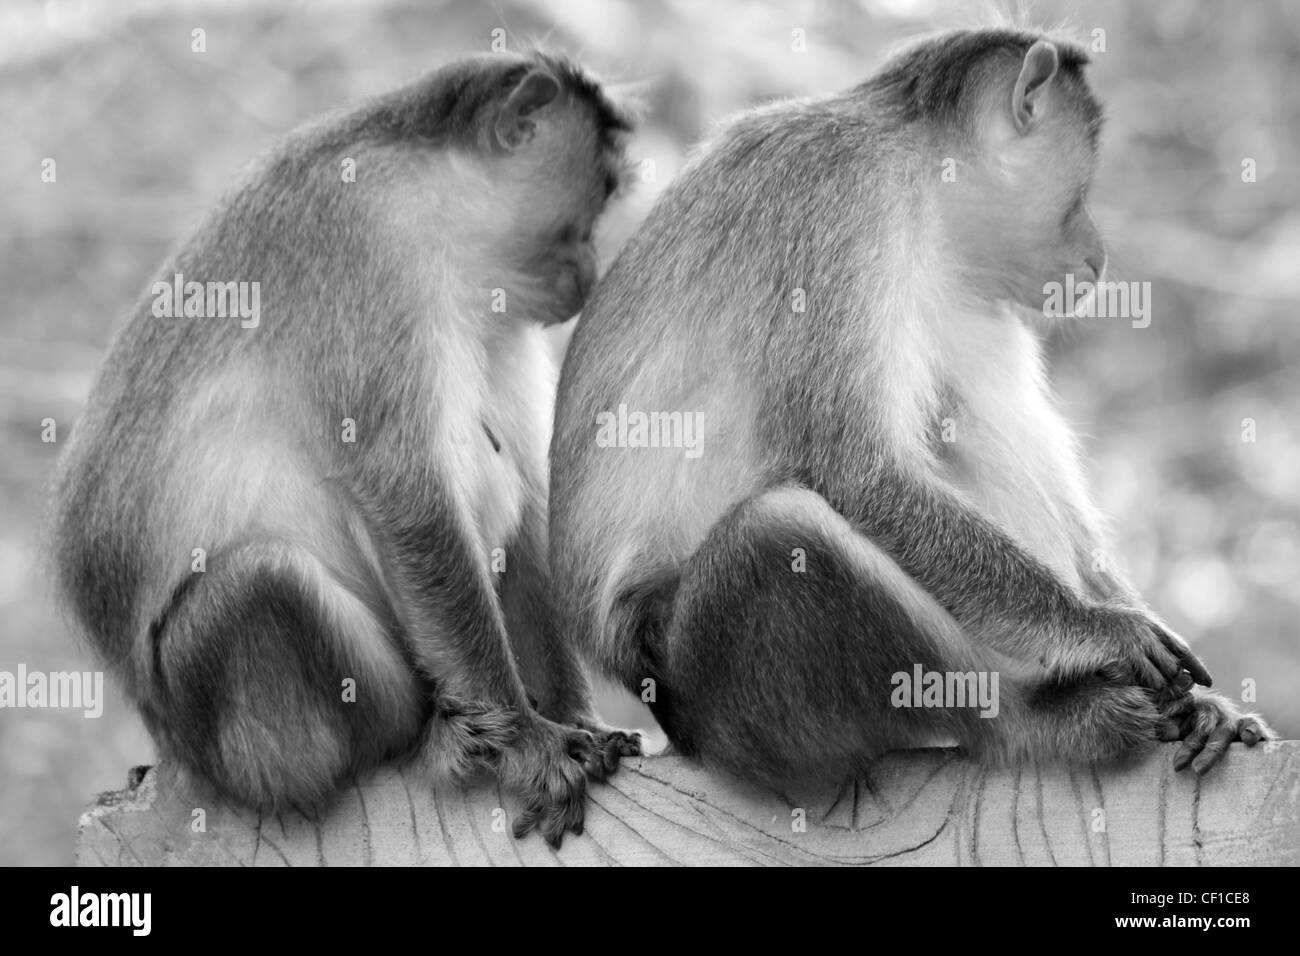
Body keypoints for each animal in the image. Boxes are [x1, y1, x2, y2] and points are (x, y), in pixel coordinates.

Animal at [48, 51, 639, 846]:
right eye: (596, 200)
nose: (588, 270)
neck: (430, 190)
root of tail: (172, 749)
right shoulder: (370, 250)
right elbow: (405, 495)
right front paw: (527, 739)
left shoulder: (497, 312)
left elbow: (522, 502)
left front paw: (575, 719)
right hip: (245, 740)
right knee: (260, 584)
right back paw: (435, 740)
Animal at [548, 28, 1274, 791]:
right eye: (1080, 193)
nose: (1099, 256)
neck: (920, 175)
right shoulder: (842, 200)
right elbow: (854, 468)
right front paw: (1101, 628)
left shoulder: (968, 292)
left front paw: (1190, 692)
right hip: (720, 690)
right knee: (778, 535)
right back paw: (1028, 722)